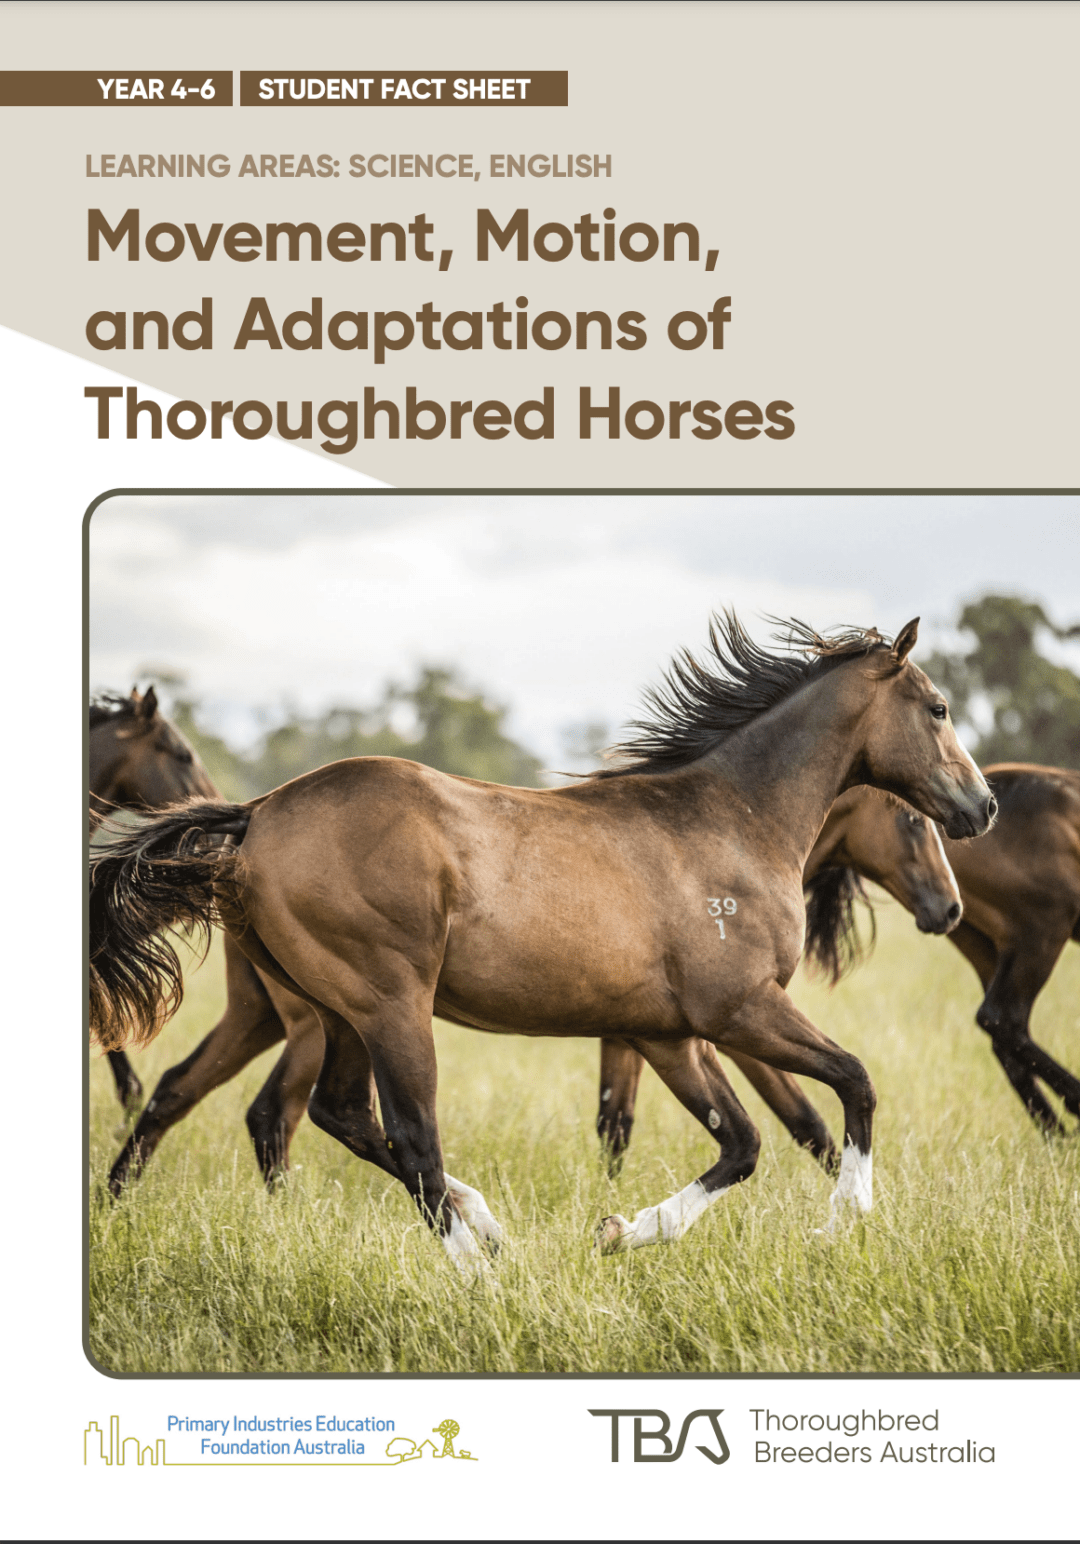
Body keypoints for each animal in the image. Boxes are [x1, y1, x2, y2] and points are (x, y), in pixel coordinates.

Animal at [89, 615, 995, 1271]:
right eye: (939, 709)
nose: (981, 807)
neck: (731, 824)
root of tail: (255, 817)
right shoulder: (740, 1011)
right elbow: (852, 1085)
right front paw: (845, 1221)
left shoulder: (669, 1035)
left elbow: (740, 1142)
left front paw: (623, 1231)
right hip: (389, 1009)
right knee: (406, 1136)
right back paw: (482, 1276)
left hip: (331, 1012)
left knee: (333, 1113)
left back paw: (488, 1225)